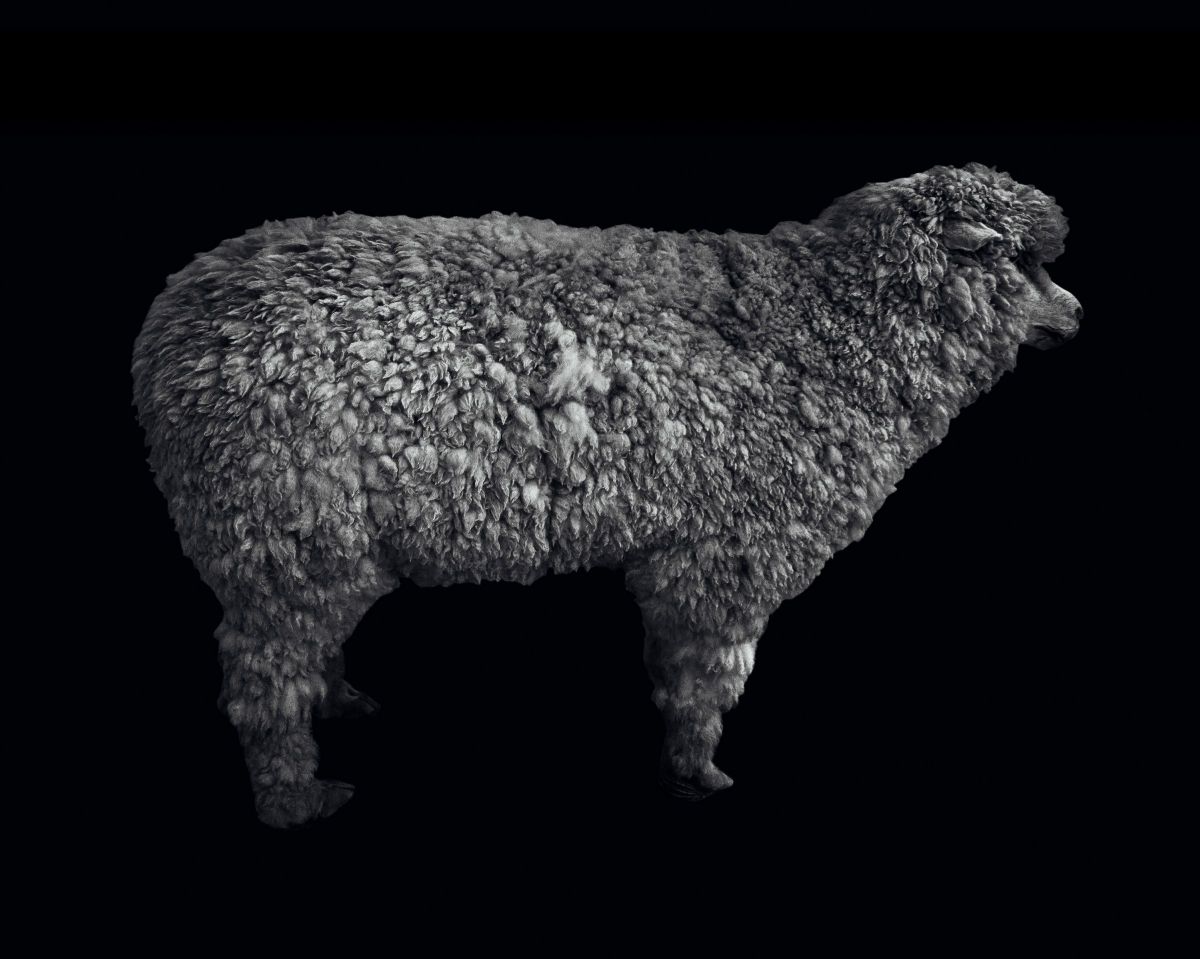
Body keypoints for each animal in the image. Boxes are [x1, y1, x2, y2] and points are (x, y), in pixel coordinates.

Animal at [131, 162, 1081, 827]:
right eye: (1016, 261)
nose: (1074, 311)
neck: (825, 330)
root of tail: (170, 325)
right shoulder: (730, 547)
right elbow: (706, 675)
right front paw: (696, 772)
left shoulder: (678, 548)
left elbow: (670, 661)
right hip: (274, 519)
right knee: (263, 671)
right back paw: (294, 795)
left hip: (313, 539)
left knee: (305, 642)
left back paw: (339, 700)